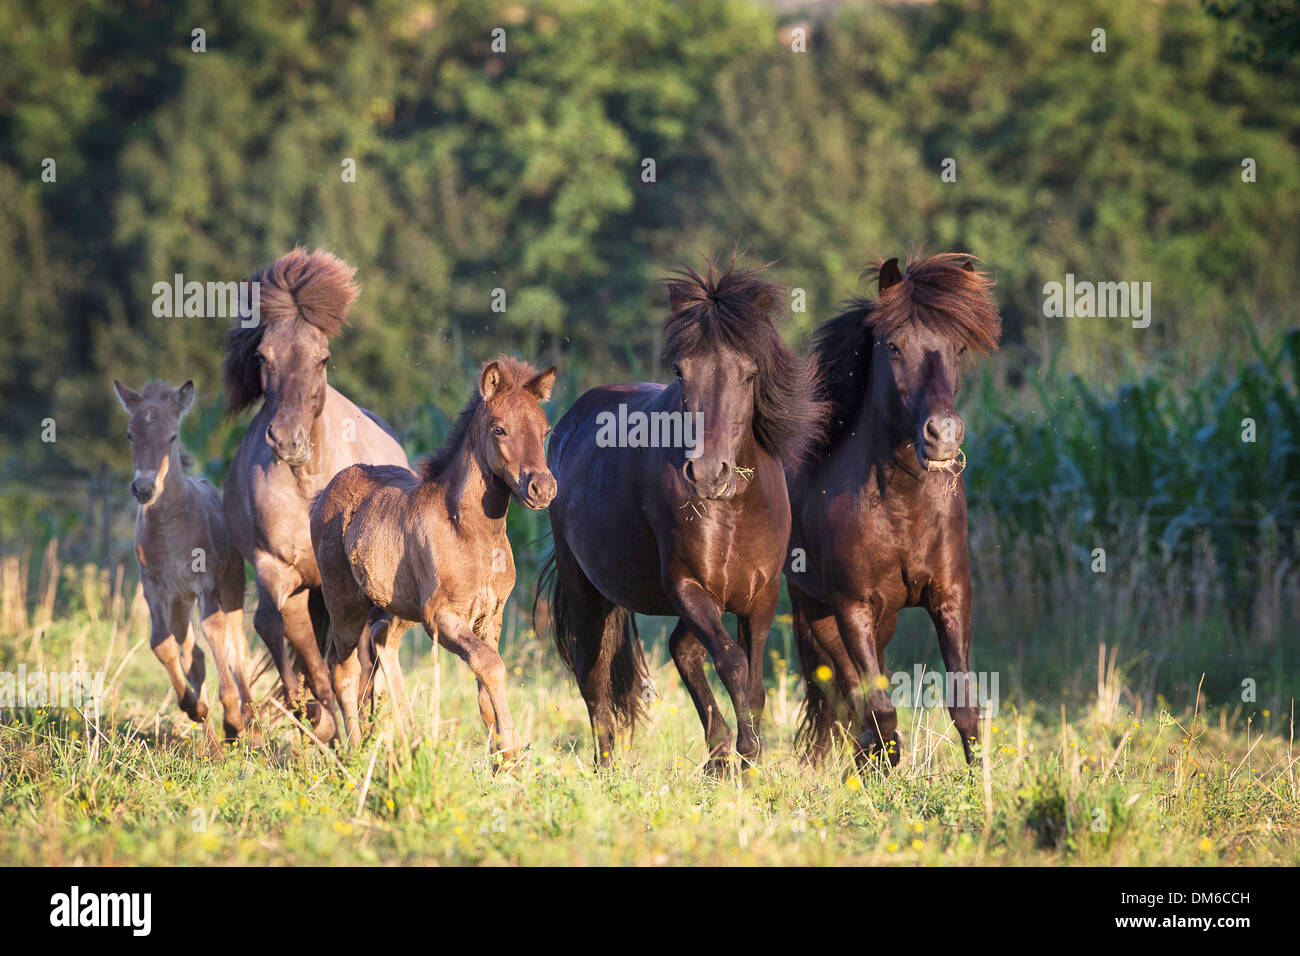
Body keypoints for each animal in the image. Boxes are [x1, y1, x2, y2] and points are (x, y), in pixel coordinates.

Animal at [113, 379, 254, 743]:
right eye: (130, 435)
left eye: (172, 436)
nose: (144, 489)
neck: (170, 526)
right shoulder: (154, 587)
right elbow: (161, 644)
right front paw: (194, 706)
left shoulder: (207, 585)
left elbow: (217, 633)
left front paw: (232, 717)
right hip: (180, 601)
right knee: (195, 654)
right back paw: (212, 736)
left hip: (231, 586)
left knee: (238, 646)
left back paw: (250, 723)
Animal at [222, 248, 411, 743]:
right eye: (262, 356)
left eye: (323, 359)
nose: (287, 440)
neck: (307, 481)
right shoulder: (275, 568)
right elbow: (275, 628)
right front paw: (311, 711)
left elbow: (352, 654)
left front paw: (336, 717)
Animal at [311, 357, 556, 759]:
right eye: (499, 429)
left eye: (546, 430)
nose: (543, 488)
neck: (472, 534)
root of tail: (323, 493)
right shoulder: (440, 617)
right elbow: (491, 666)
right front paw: (510, 750)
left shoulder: (490, 618)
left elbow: (484, 679)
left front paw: (500, 756)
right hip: (346, 603)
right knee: (343, 668)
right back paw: (357, 751)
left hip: (399, 605)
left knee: (383, 640)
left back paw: (412, 739)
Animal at [539, 256, 827, 770]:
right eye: (680, 371)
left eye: (749, 373)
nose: (708, 473)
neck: (734, 509)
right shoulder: (688, 586)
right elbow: (733, 663)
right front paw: (747, 754)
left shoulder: (761, 595)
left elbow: (753, 681)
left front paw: (745, 760)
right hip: (586, 588)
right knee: (593, 673)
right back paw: (609, 763)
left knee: (680, 650)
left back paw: (716, 753)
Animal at [786, 253, 1001, 770]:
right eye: (894, 347)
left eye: (958, 347)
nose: (943, 434)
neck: (903, 508)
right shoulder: (853, 608)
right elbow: (879, 711)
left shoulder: (951, 598)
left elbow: (964, 706)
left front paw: (977, 781)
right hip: (819, 613)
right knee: (852, 695)